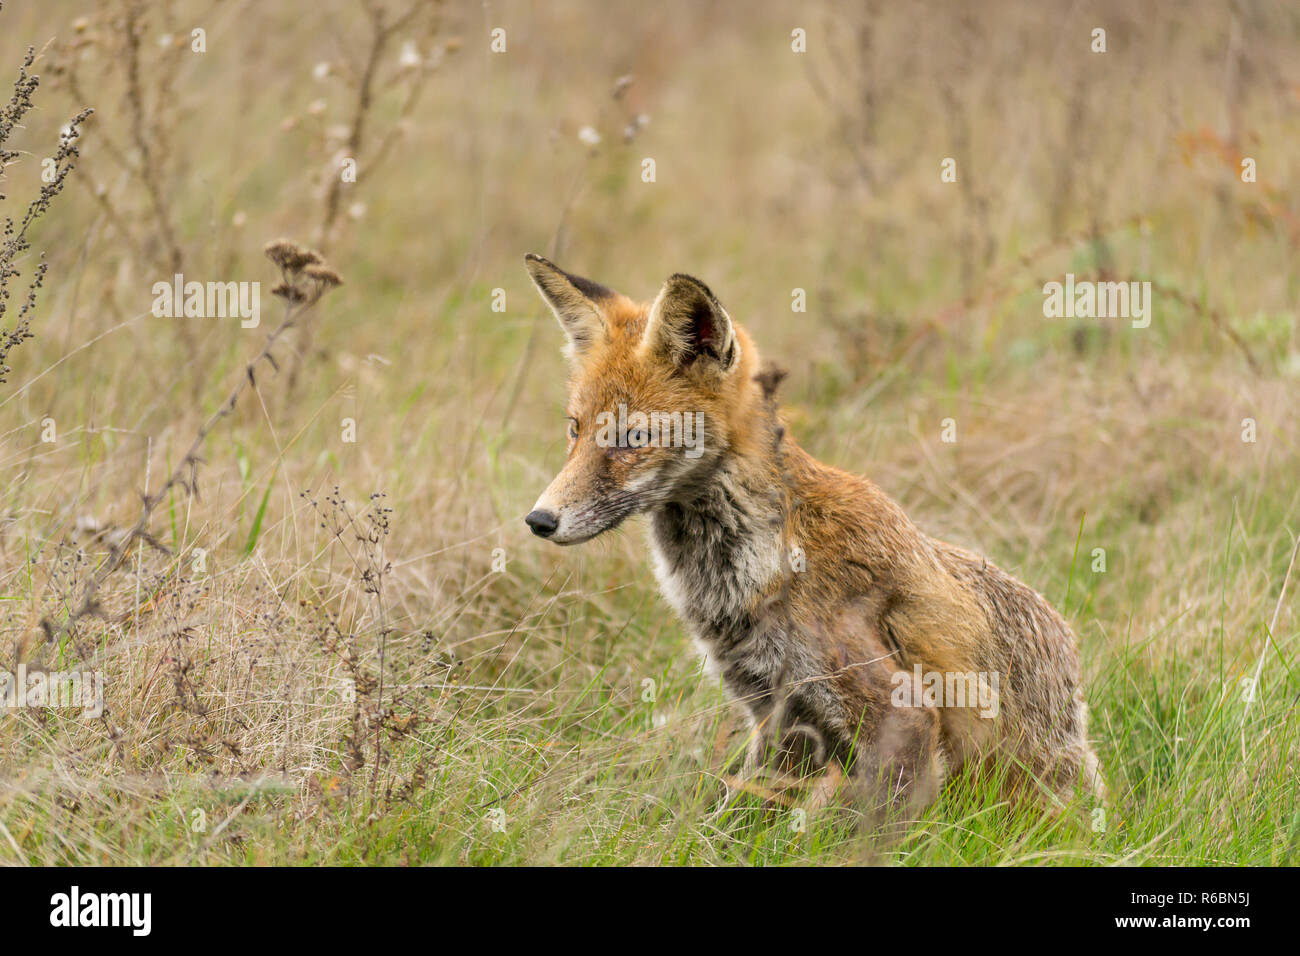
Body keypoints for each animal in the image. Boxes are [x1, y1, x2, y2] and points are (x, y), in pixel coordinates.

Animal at [522, 253, 1105, 811]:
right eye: (574, 428)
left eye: (633, 438)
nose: (539, 520)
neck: (757, 563)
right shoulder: (779, 718)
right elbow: (736, 816)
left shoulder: (898, 716)